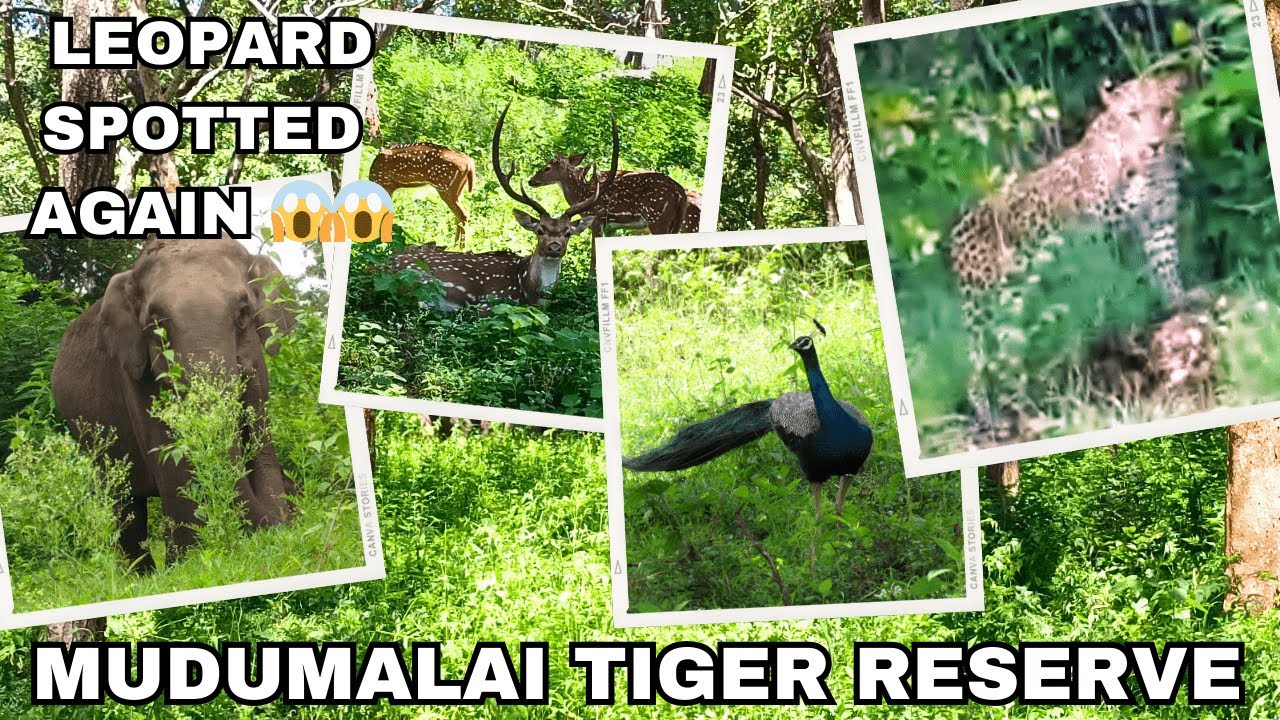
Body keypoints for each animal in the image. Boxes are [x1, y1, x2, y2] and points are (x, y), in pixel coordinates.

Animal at [945, 72, 1191, 445]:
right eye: (1133, 115)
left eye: (1164, 111)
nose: (1155, 144)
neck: (1150, 171)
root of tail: (957, 234)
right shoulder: (1094, 230)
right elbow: (1104, 279)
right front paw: (1116, 324)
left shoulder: (1159, 222)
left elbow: (1168, 266)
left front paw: (1178, 302)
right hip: (985, 305)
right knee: (978, 360)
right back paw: (994, 417)